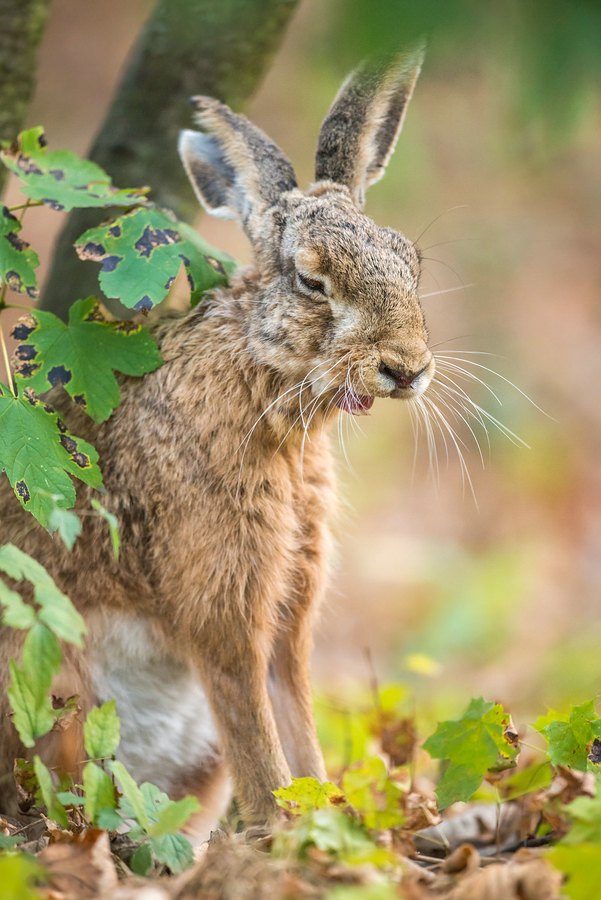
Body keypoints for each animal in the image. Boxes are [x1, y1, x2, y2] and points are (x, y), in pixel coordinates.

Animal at [0, 45, 434, 833]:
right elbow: (251, 718)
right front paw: (280, 827)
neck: (264, 379)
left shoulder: (291, 597)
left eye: (408, 262)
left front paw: (326, 819)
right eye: (311, 281)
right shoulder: (223, 595)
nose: (407, 367)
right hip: (49, 679)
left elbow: (291, 703)